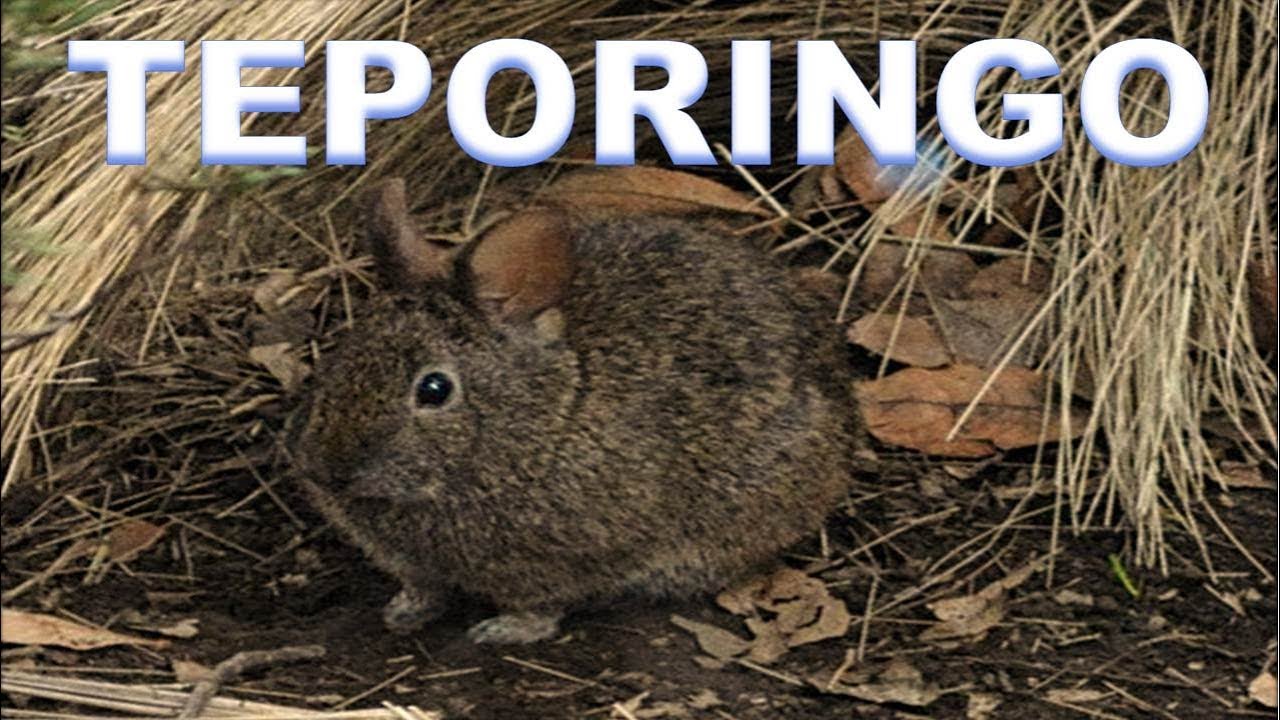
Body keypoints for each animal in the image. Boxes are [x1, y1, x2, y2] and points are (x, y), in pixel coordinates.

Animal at [292, 176, 858, 644]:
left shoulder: (562, 562)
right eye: (340, 356)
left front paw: (504, 630)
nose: (327, 472)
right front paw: (405, 611)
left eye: (434, 389)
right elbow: (425, 586)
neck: (546, 417)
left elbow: (542, 603)